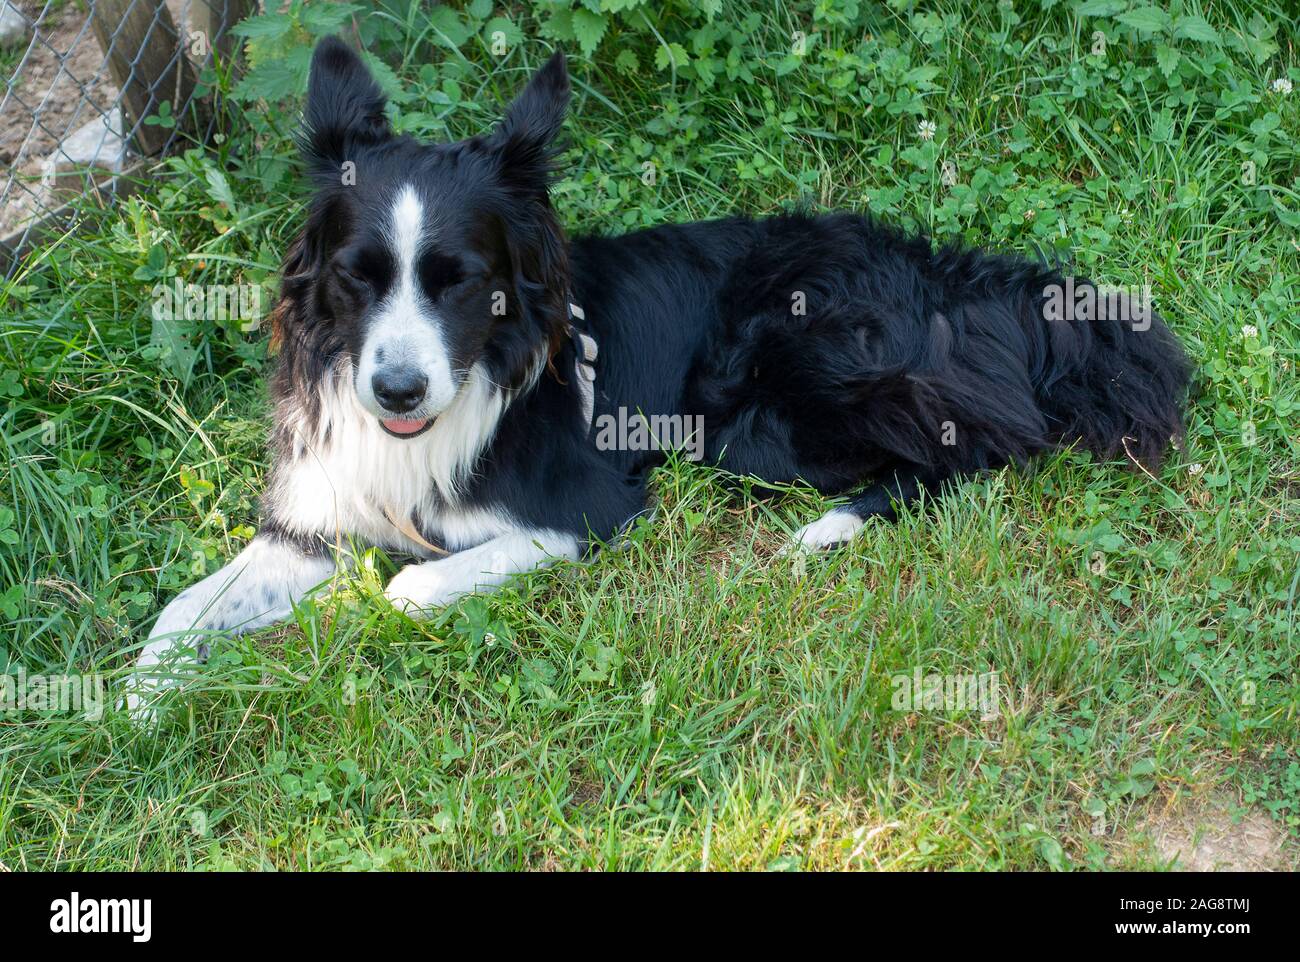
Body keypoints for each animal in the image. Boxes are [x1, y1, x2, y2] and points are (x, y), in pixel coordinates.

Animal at [129, 37, 1190, 712]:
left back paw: (830, 529)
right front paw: (141, 701)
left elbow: (409, 589)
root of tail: (945, 273)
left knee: (977, 448)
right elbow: (185, 607)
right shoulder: (318, 516)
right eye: (358, 276)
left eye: (459, 280)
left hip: (765, 419)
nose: (396, 393)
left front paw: (357, 613)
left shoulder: (584, 513)